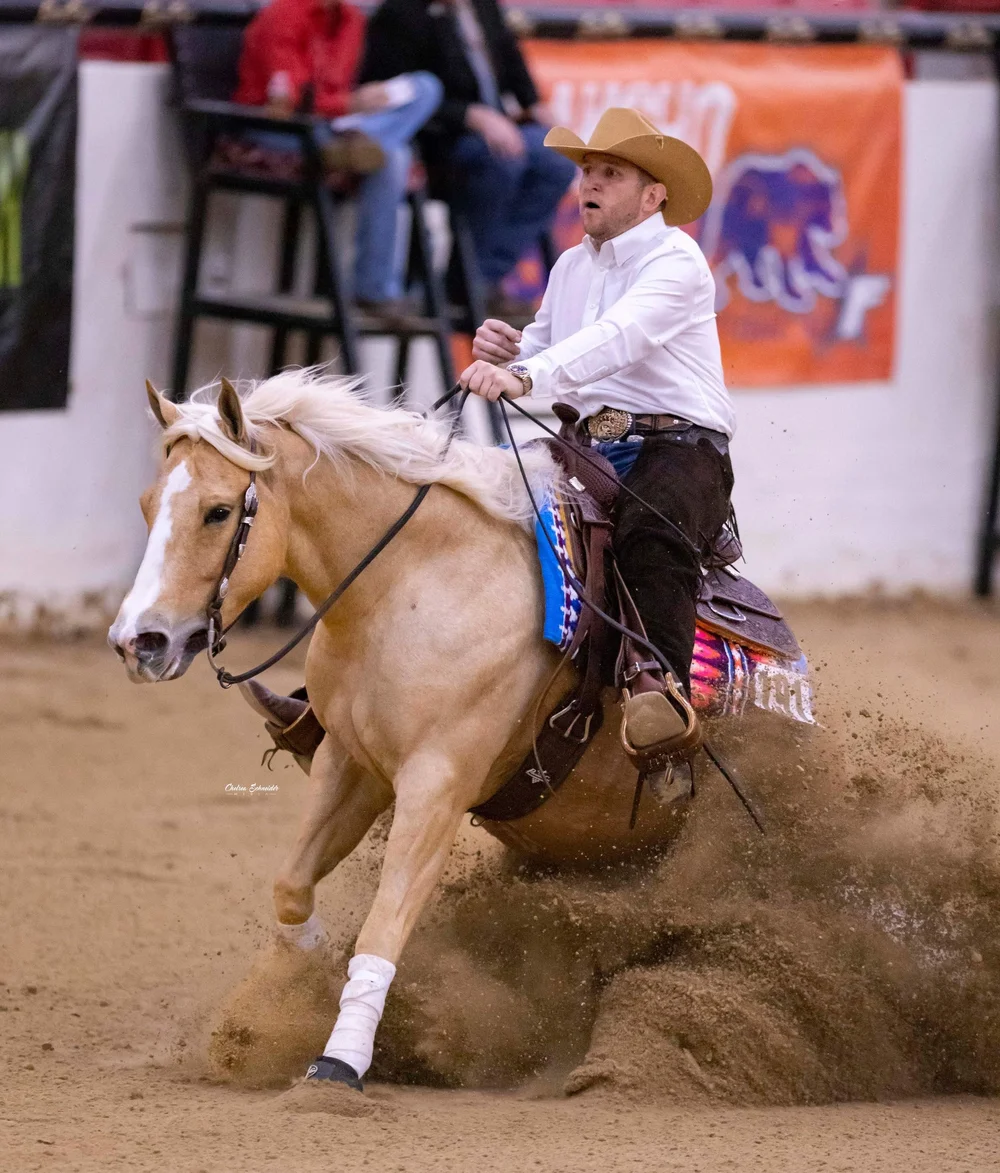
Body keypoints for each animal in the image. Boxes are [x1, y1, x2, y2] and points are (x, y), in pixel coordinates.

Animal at [108, 370, 812, 1092]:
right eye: (146, 504)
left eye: (219, 511)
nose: (139, 642)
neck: (413, 583)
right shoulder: (350, 764)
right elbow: (292, 887)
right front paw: (306, 987)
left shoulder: (437, 783)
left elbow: (384, 926)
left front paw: (340, 1059)